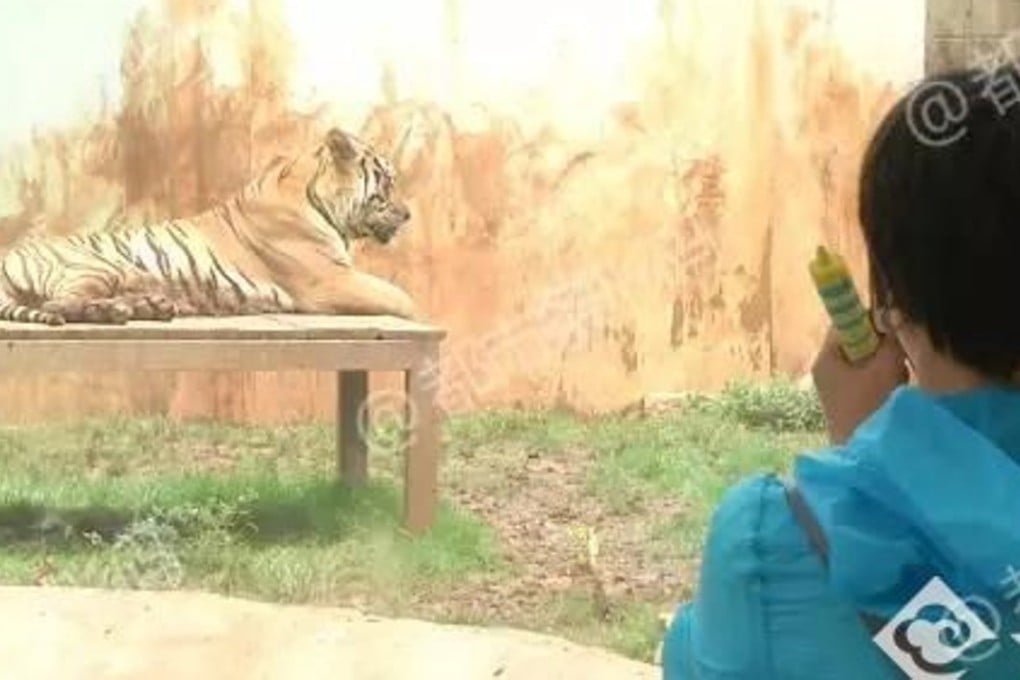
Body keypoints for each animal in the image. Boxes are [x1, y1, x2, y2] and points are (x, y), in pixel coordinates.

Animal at [0, 127, 419, 326]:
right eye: (388, 182)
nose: (408, 215)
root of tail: (10, 255)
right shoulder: (329, 280)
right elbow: (404, 300)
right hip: (93, 267)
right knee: (60, 303)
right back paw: (118, 312)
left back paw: (149, 306)